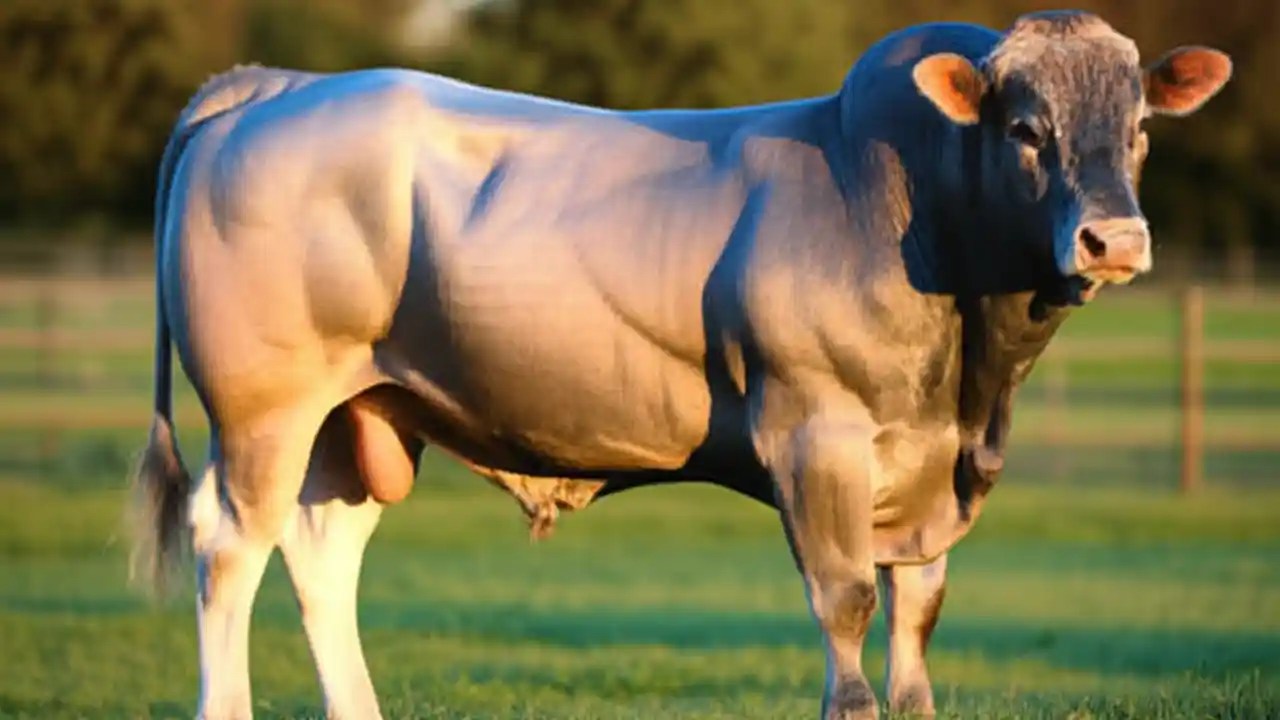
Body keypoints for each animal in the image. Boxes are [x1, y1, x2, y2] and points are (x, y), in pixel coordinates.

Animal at [131, 10, 1230, 720]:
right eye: (1024, 129)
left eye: (1139, 127)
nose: (1113, 240)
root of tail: (276, 89)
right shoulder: (816, 436)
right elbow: (849, 612)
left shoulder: (926, 474)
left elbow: (917, 628)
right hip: (264, 407)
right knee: (229, 547)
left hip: (359, 413)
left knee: (321, 553)